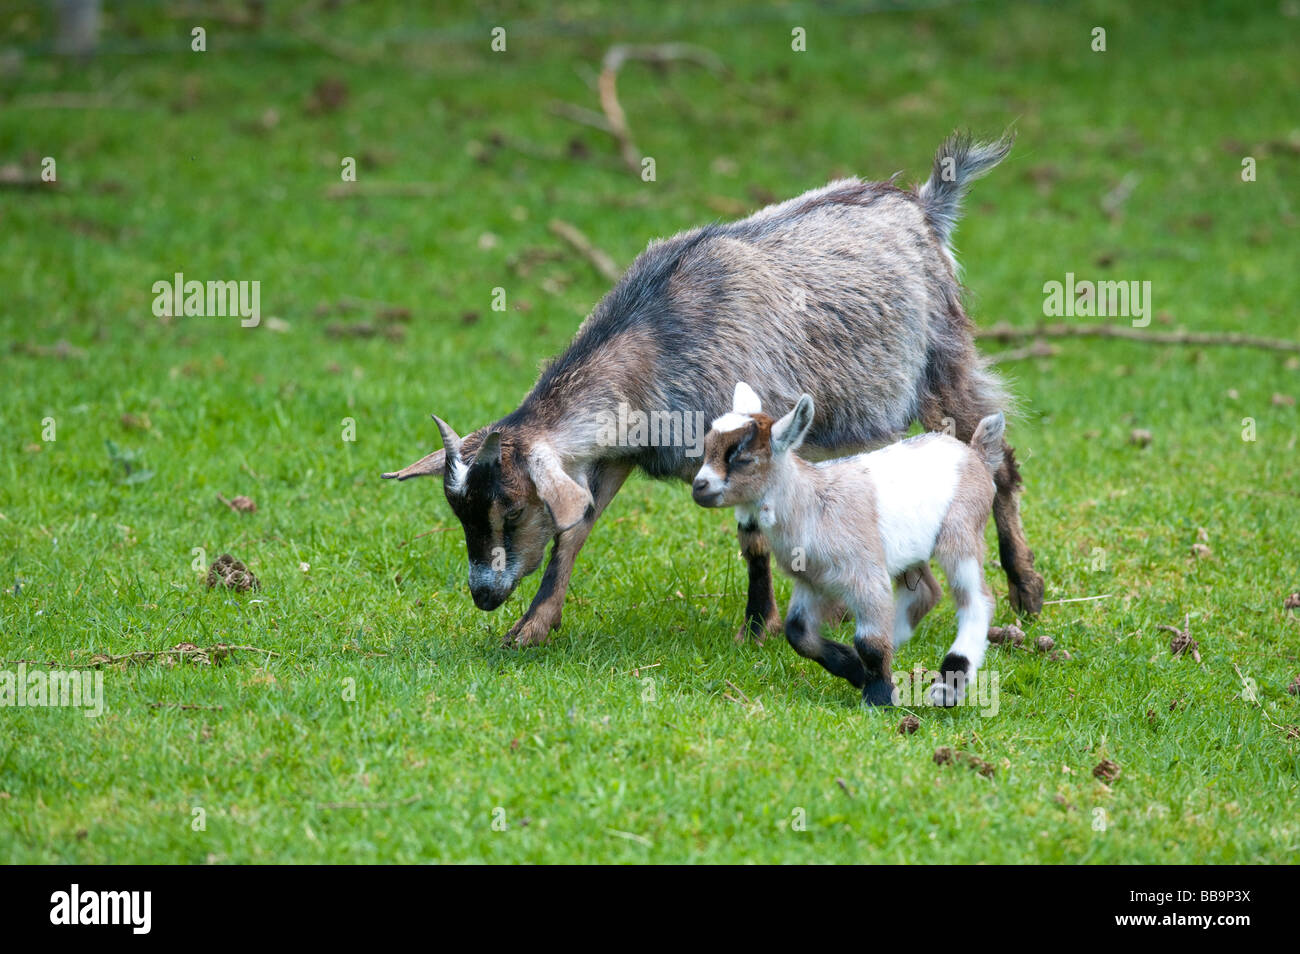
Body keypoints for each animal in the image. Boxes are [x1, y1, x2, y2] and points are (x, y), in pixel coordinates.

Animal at [382, 132, 1043, 648]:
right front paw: (532, 627)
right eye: (459, 510)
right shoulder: (618, 451)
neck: (655, 342)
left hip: (943, 363)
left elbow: (753, 537)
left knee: (996, 459)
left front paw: (759, 626)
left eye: (514, 507)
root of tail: (925, 207)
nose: (483, 595)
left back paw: (1026, 593)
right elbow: (577, 531)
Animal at [693, 382, 1003, 705]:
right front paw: (855, 670)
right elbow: (797, 633)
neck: (812, 503)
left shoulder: (865, 575)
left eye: (743, 460)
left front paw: (879, 698)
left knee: (977, 600)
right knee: (925, 593)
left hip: (961, 530)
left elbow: (869, 642)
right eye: (708, 446)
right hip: (908, 551)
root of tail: (975, 454)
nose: (699, 487)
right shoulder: (810, 580)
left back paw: (947, 686)